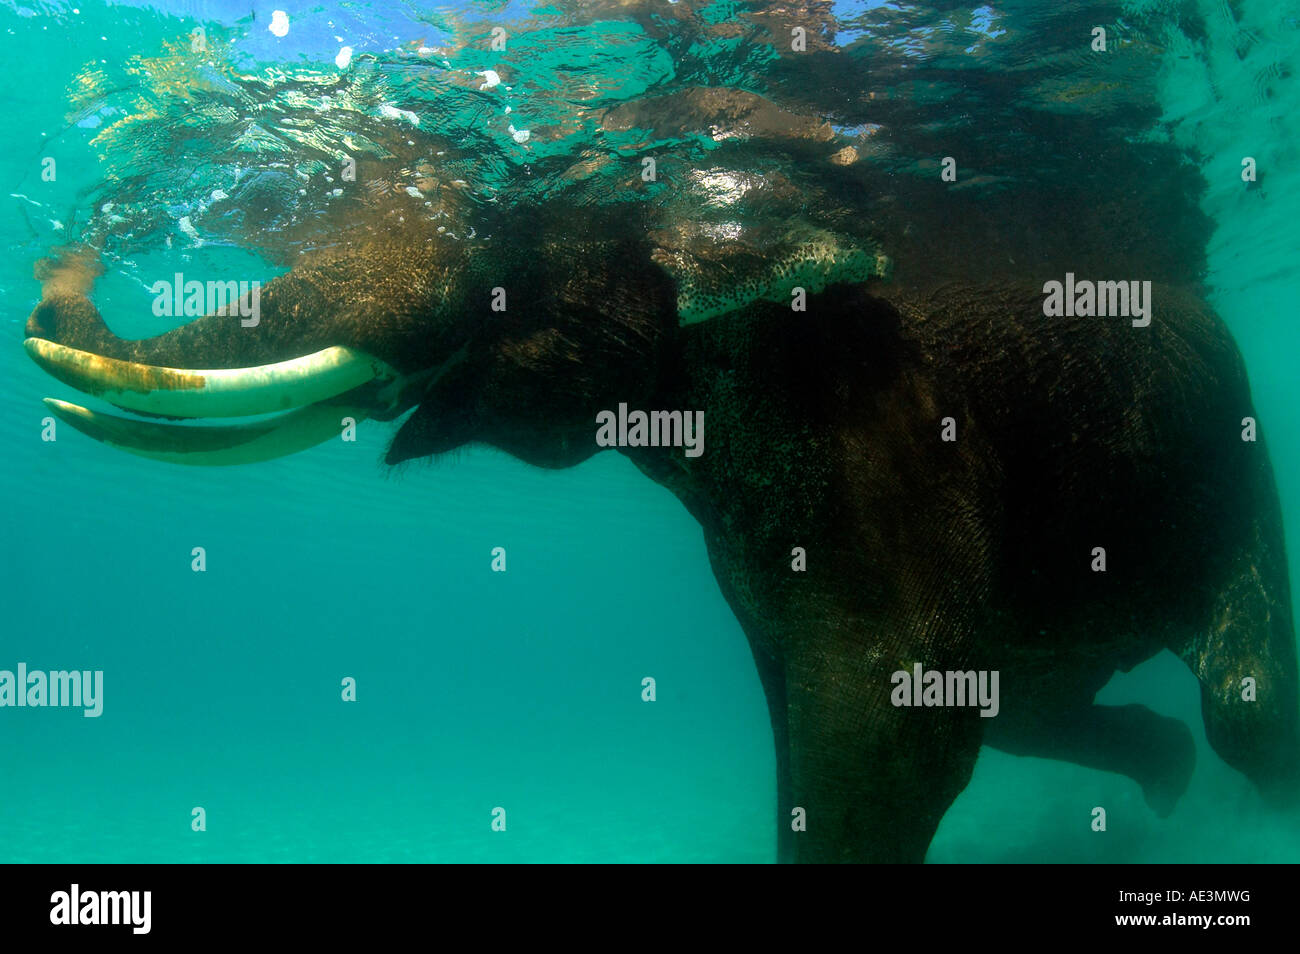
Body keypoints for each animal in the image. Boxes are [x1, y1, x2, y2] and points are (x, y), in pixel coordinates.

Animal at [23, 212, 1300, 862]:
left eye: (502, 266)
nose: (49, 279)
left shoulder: (884, 433)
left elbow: (898, 713)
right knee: (1034, 707)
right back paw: (1168, 784)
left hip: (1235, 461)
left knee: (1238, 697)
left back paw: (1250, 802)